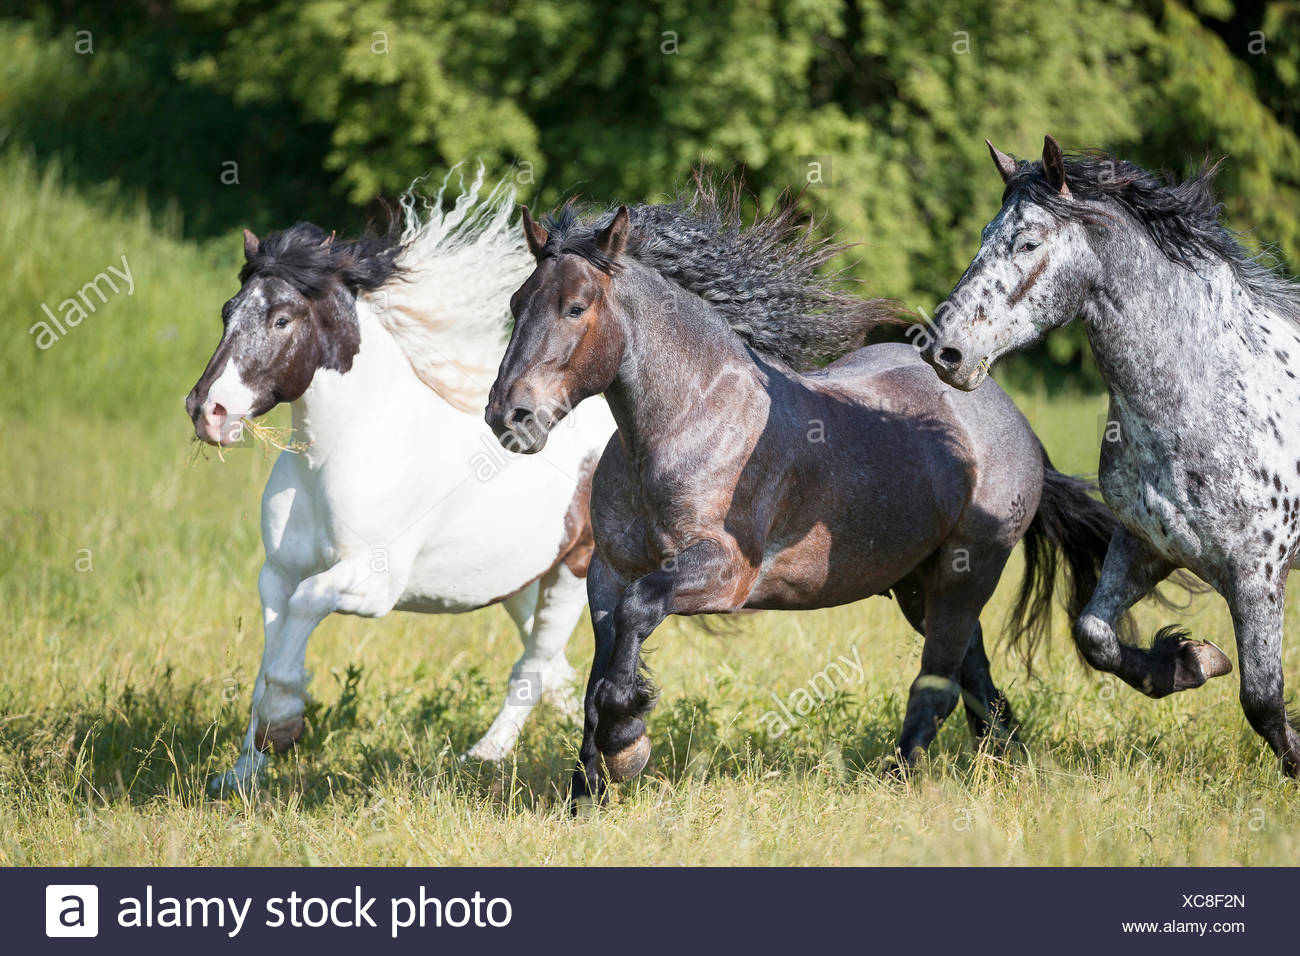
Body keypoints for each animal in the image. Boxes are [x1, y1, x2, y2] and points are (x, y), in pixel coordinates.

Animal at [185, 171, 615, 793]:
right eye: (227, 312)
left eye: (282, 320)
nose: (207, 411)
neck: (335, 460)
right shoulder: (277, 576)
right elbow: (270, 659)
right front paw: (241, 775)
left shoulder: (371, 584)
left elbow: (302, 618)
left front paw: (285, 726)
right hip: (518, 581)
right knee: (548, 665)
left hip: (572, 571)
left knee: (533, 665)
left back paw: (484, 756)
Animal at [485, 179, 1130, 806]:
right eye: (517, 303)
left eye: (576, 307)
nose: (507, 415)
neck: (690, 424)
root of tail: (1010, 417)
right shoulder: (608, 572)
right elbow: (601, 669)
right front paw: (585, 795)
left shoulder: (724, 574)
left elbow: (637, 617)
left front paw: (627, 744)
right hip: (919, 586)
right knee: (972, 676)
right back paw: (1006, 766)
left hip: (966, 573)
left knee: (938, 686)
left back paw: (901, 783)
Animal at [921, 135, 1299, 778]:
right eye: (983, 233)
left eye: (1028, 242)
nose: (945, 351)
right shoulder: (1144, 546)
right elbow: (1093, 635)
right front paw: (1190, 661)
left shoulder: (1258, 576)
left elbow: (1263, 700)